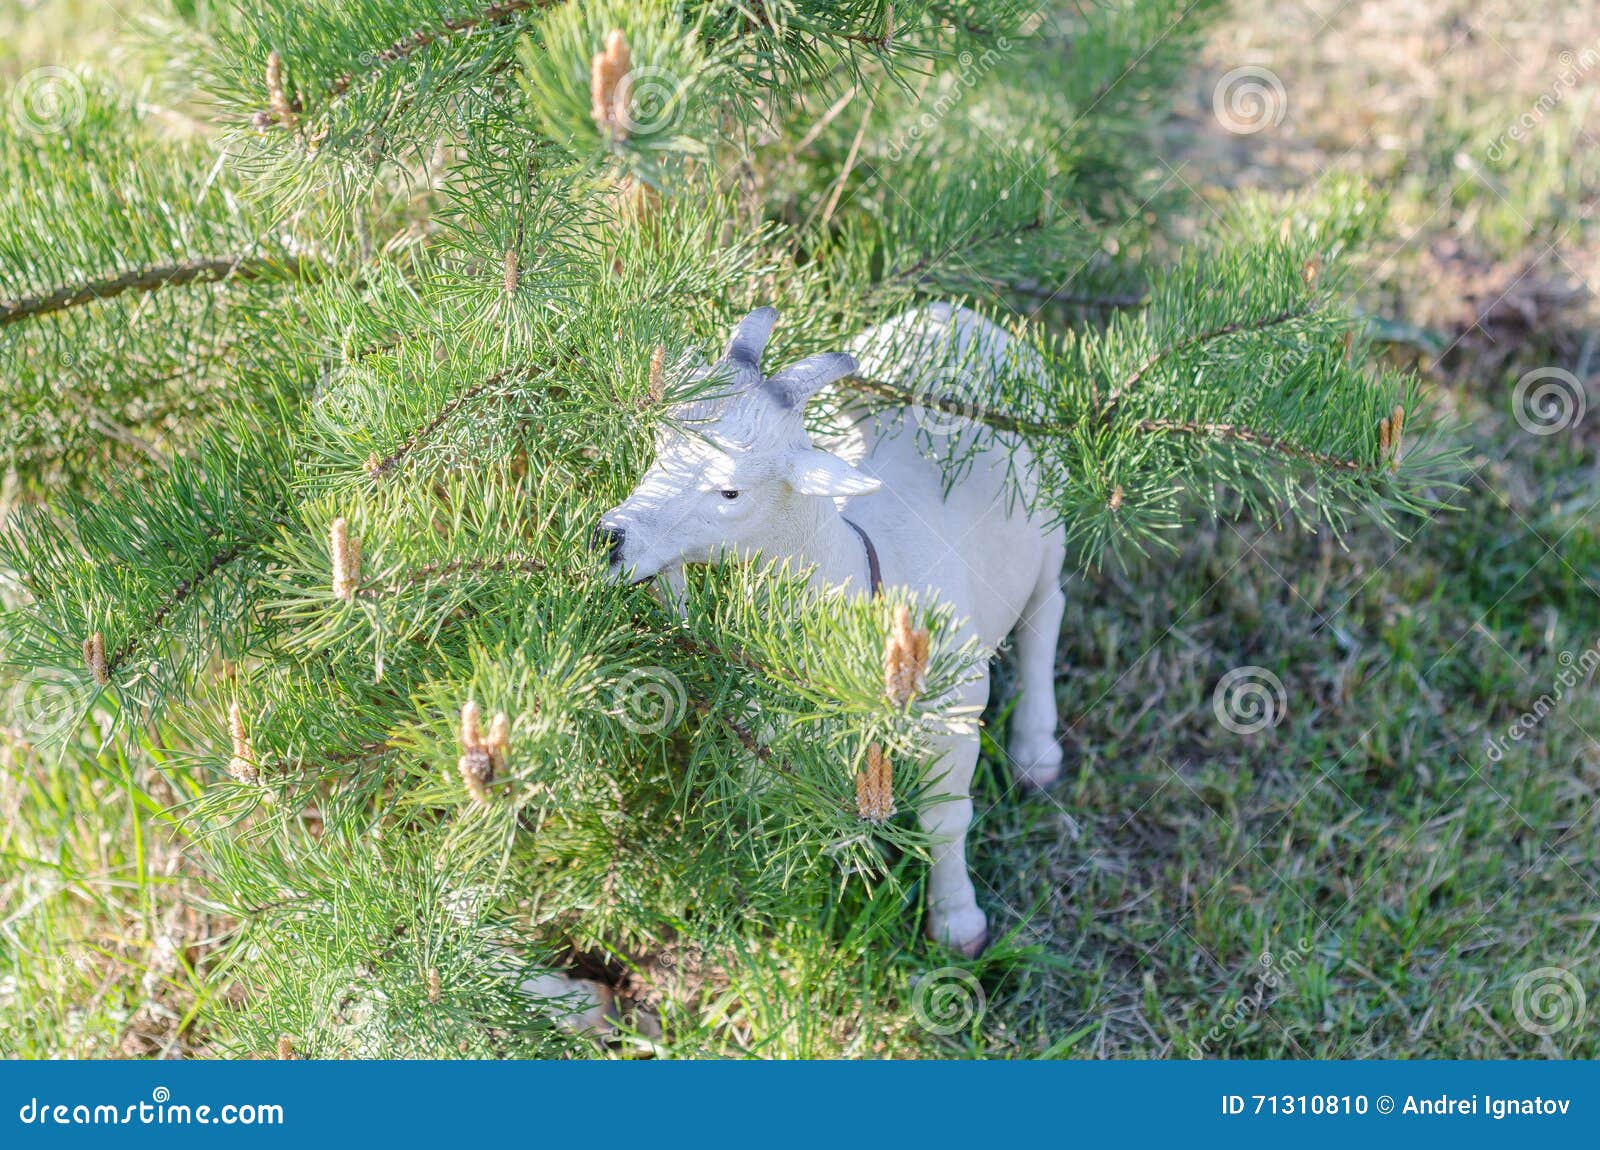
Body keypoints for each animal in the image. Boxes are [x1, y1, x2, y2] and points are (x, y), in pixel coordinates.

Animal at [598, 303, 1067, 956]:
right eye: (661, 446)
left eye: (730, 490)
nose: (611, 539)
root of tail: (961, 315)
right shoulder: (765, 722)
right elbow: (770, 801)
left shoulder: (956, 714)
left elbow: (946, 819)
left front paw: (958, 923)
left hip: (1053, 524)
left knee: (1046, 614)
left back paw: (1036, 750)